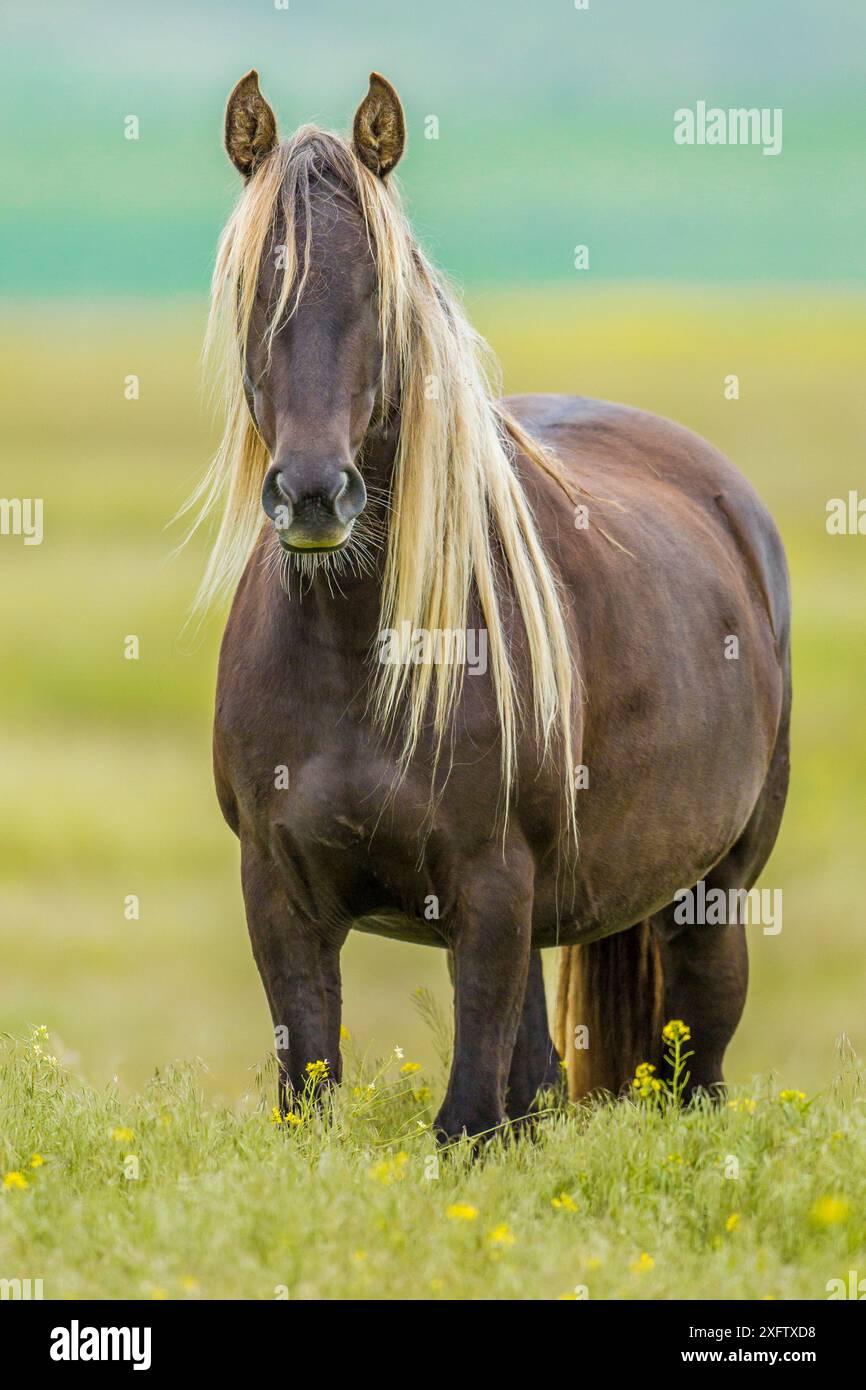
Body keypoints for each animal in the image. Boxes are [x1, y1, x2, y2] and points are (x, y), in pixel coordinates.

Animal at [191, 70, 791, 1140]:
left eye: (379, 294)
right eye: (255, 290)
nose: (314, 493)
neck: (356, 656)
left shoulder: (489, 887)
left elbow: (467, 1120)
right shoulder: (279, 892)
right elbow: (315, 1091)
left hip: (709, 895)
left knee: (698, 1059)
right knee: (540, 1075)